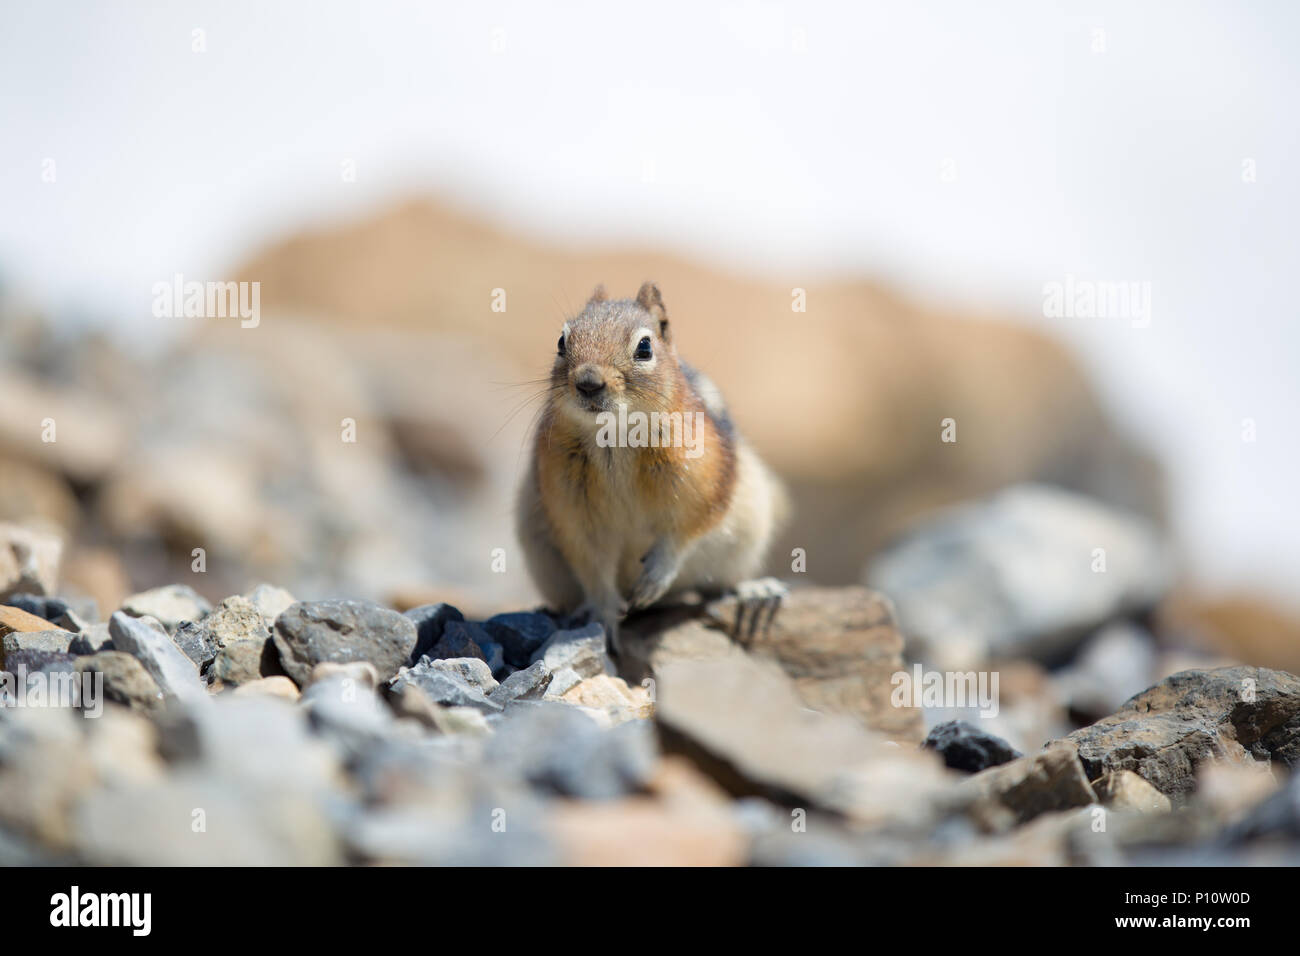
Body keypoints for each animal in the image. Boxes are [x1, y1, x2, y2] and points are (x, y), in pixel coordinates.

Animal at [516, 281, 788, 653]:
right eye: (561, 341)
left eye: (644, 347)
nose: (588, 381)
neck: (614, 434)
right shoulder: (571, 508)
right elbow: (592, 564)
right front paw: (603, 615)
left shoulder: (700, 479)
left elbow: (686, 529)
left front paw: (655, 576)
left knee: (718, 587)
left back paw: (756, 595)